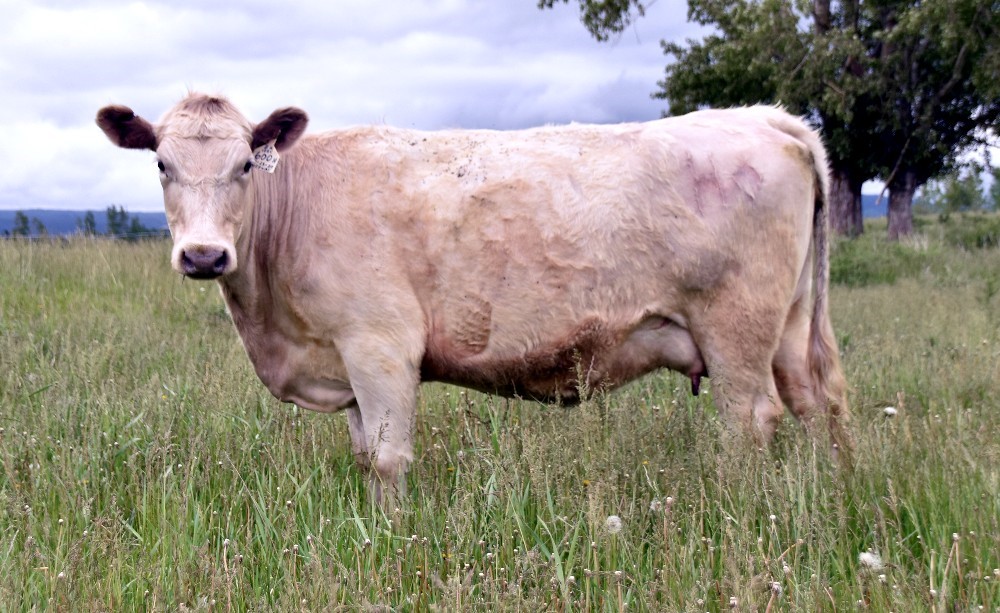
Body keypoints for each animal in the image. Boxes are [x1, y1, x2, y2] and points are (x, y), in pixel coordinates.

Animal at [97, 93, 849, 498]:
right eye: (160, 163)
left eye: (245, 165)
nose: (203, 254)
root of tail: (764, 118)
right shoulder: (343, 362)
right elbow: (365, 456)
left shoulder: (380, 347)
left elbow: (390, 458)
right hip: (789, 324)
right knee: (817, 401)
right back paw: (823, 492)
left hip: (736, 325)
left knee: (751, 418)